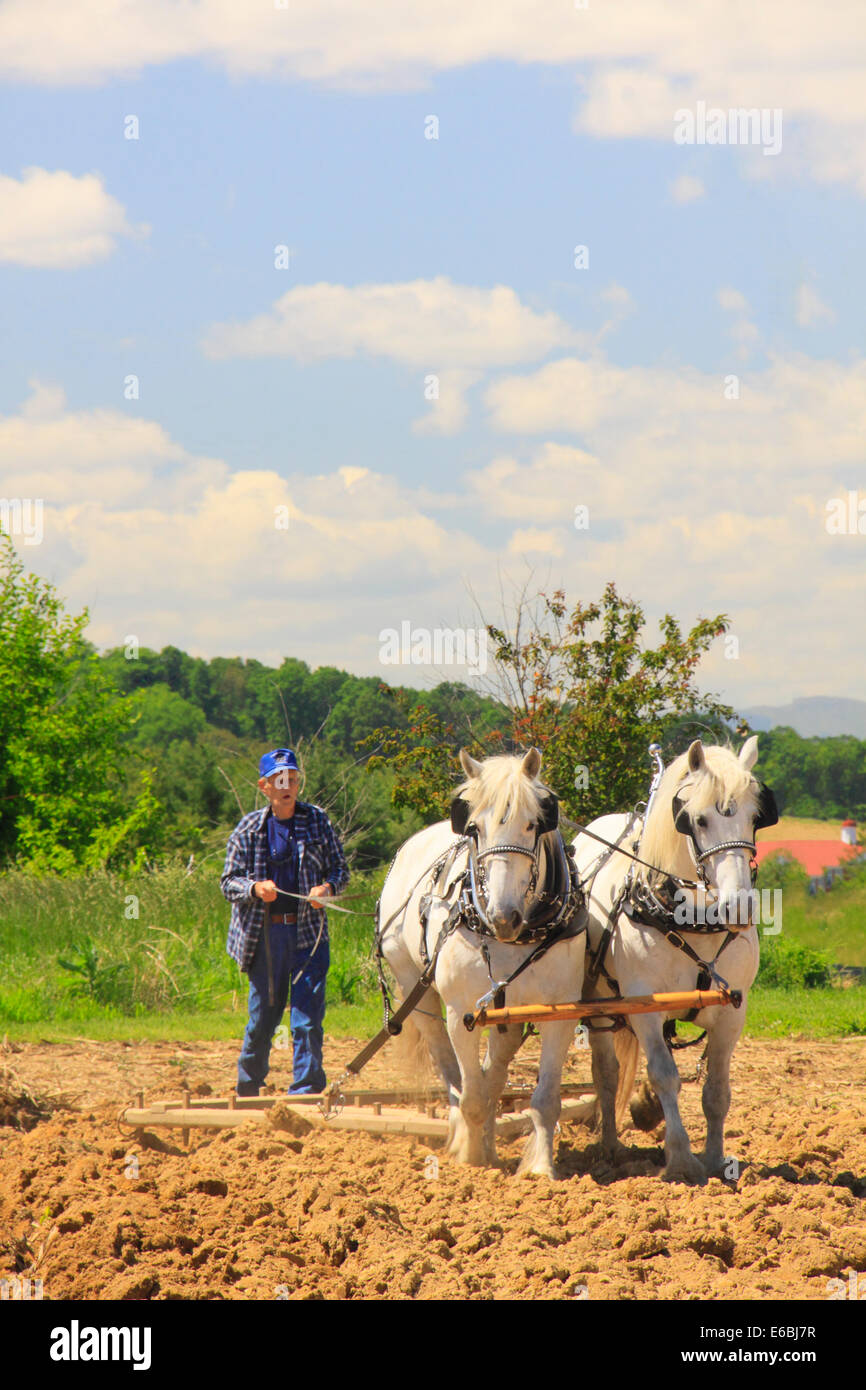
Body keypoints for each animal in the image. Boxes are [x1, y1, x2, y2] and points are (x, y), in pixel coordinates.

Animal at [377, 747, 586, 1178]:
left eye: (533, 824)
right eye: (473, 828)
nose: (504, 916)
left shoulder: (560, 1011)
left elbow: (544, 1099)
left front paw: (541, 1169)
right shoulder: (462, 1013)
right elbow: (470, 1092)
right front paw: (471, 1157)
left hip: (507, 1012)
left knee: (494, 1072)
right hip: (415, 988)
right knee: (452, 1072)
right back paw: (465, 1136)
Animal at [571, 735, 777, 1184]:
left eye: (756, 817)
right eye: (697, 820)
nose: (738, 907)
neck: (692, 919)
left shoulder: (733, 1011)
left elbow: (716, 1090)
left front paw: (715, 1159)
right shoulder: (644, 1006)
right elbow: (664, 1076)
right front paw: (681, 1159)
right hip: (599, 1003)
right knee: (607, 1073)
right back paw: (611, 1146)